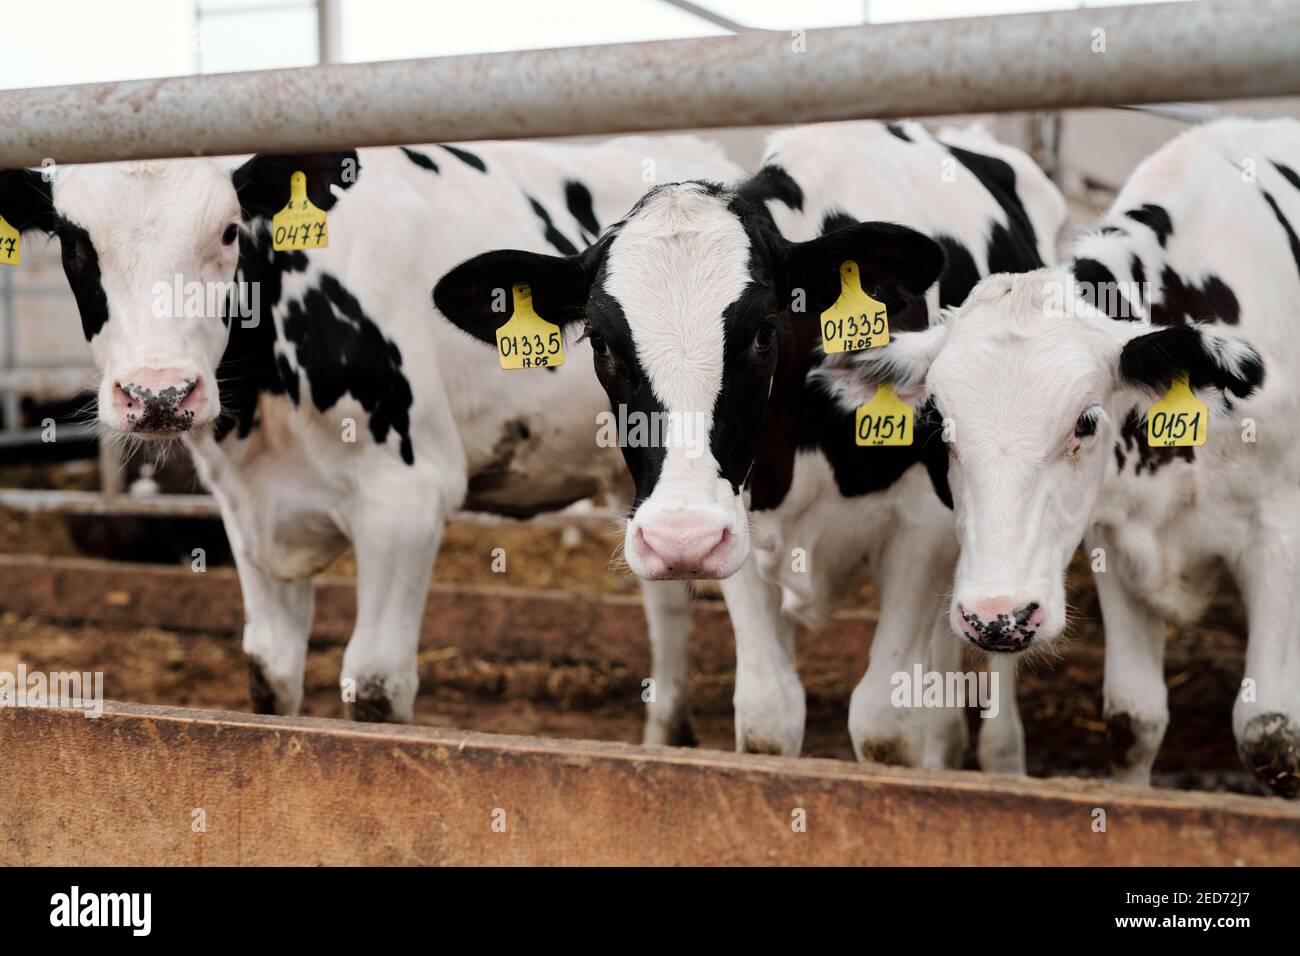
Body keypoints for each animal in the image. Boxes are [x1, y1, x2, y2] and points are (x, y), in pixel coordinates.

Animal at [0, 135, 741, 728]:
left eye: (230, 232)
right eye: (74, 243)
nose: (159, 392)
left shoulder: (407, 499)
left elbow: (377, 687)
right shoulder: (247, 510)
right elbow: (269, 676)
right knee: (666, 607)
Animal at [435, 120, 1067, 769]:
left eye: (764, 332)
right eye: (601, 343)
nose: (678, 538)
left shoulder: (922, 525)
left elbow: (882, 726)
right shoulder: (737, 525)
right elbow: (769, 716)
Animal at [811, 117, 1300, 796]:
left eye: (1086, 422)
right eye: (938, 425)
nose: (996, 617)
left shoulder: (1278, 532)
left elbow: (1269, 736)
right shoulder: (1119, 537)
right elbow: (1134, 720)